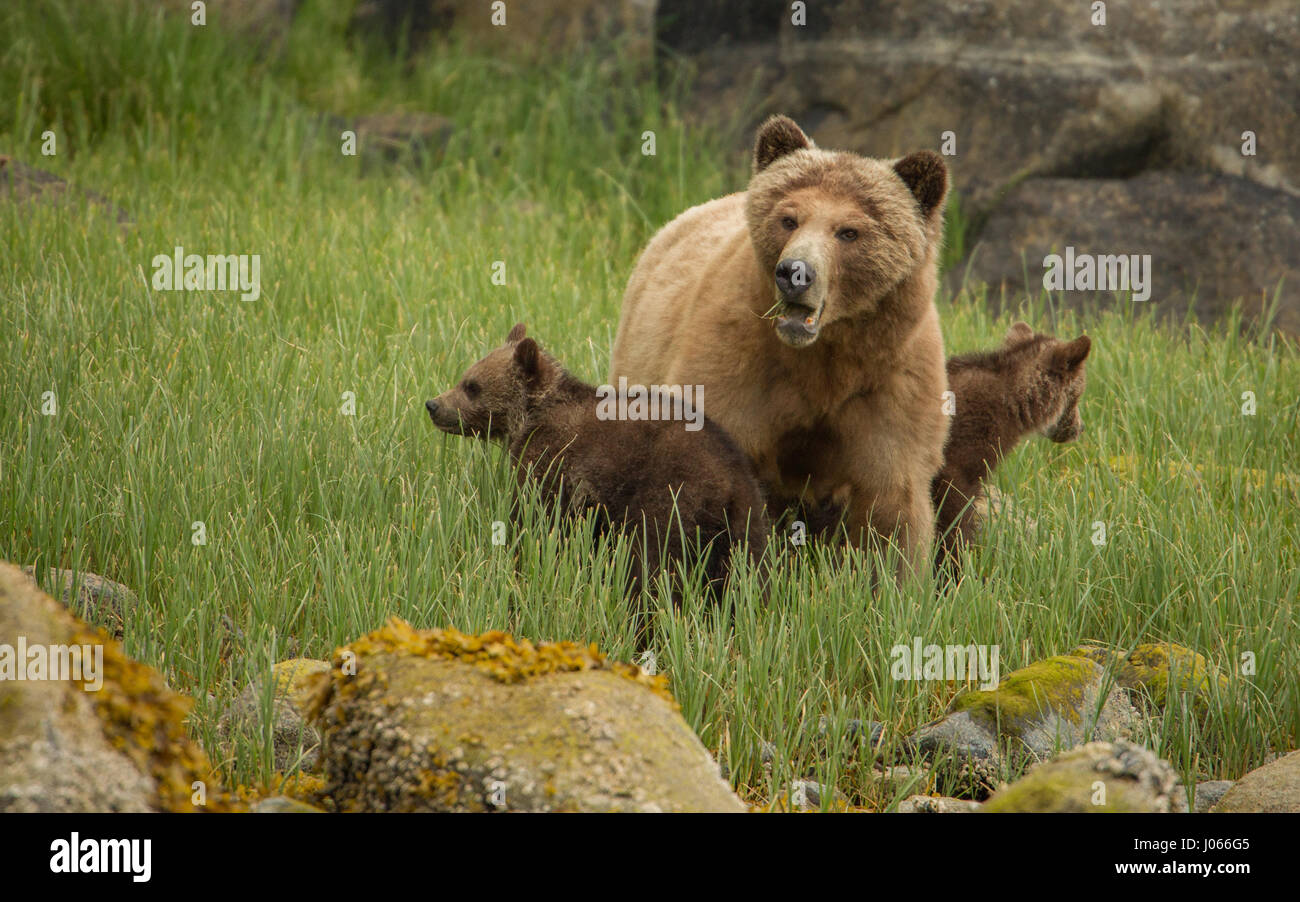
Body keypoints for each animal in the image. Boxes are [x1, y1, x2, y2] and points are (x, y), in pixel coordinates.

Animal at [425, 323, 770, 638]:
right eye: (466, 376)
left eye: (472, 385)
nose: (433, 404)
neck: (530, 416)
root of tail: (729, 481)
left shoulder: (552, 462)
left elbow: (536, 523)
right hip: (747, 521)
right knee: (748, 580)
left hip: (671, 498)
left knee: (652, 568)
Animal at [610, 115, 950, 576]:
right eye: (789, 219)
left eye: (849, 232)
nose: (795, 272)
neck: (824, 357)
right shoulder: (739, 364)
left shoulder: (893, 383)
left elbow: (890, 506)